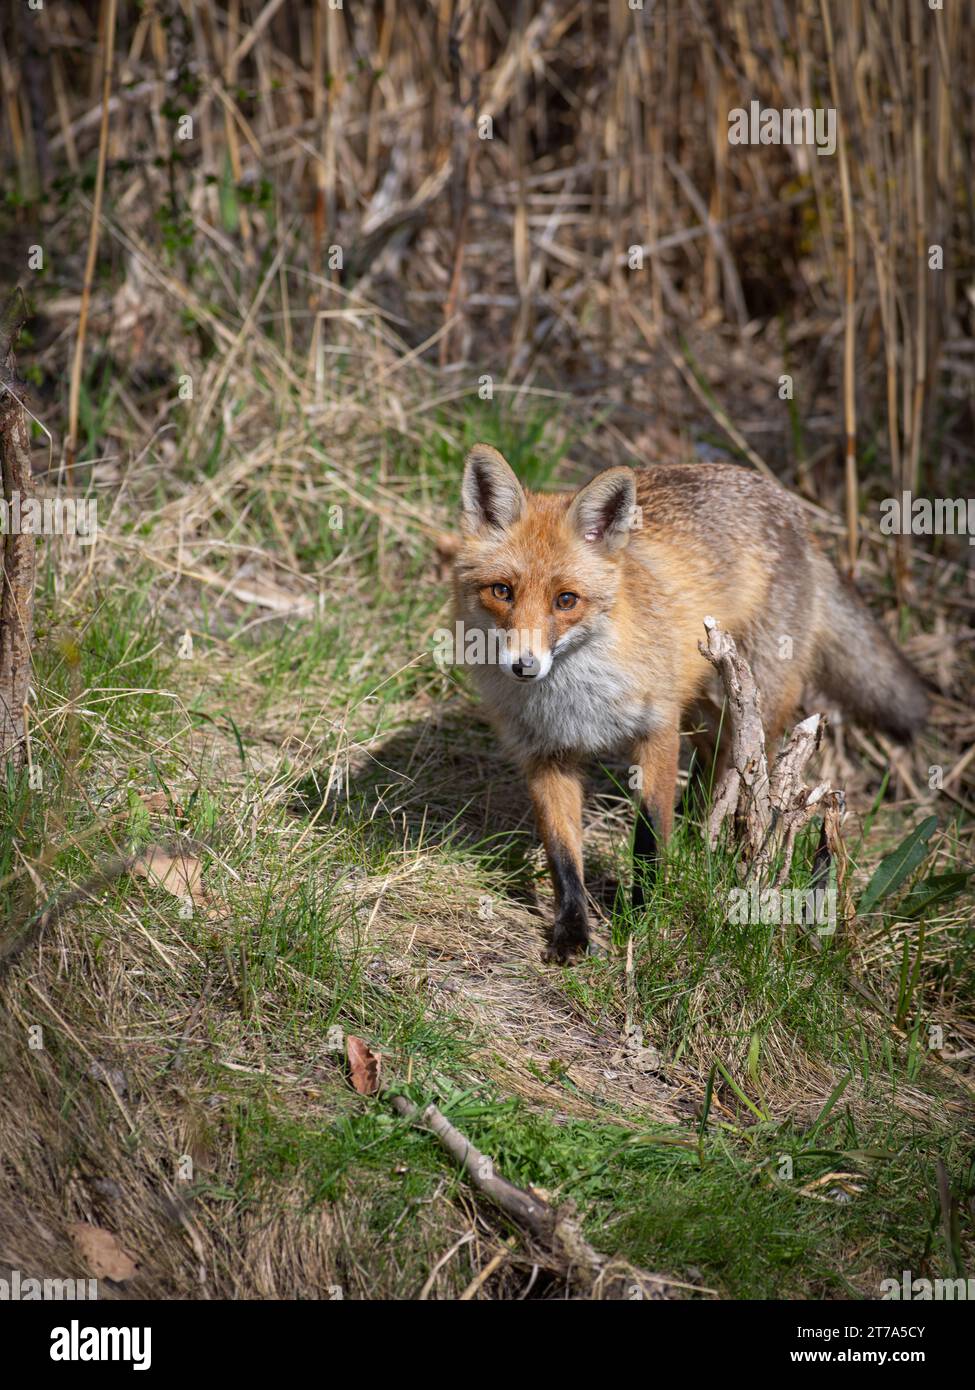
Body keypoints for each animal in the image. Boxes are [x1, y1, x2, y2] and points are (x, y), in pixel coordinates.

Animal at [453, 443, 930, 964]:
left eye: (566, 600)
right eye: (502, 591)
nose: (524, 666)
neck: (573, 696)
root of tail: (787, 504)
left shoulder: (656, 730)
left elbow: (647, 836)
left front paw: (643, 916)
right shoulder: (546, 754)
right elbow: (563, 856)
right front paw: (572, 932)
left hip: (754, 696)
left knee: (746, 770)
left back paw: (720, 837)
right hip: (704, 694)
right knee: (714, 751)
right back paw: (696, 823)